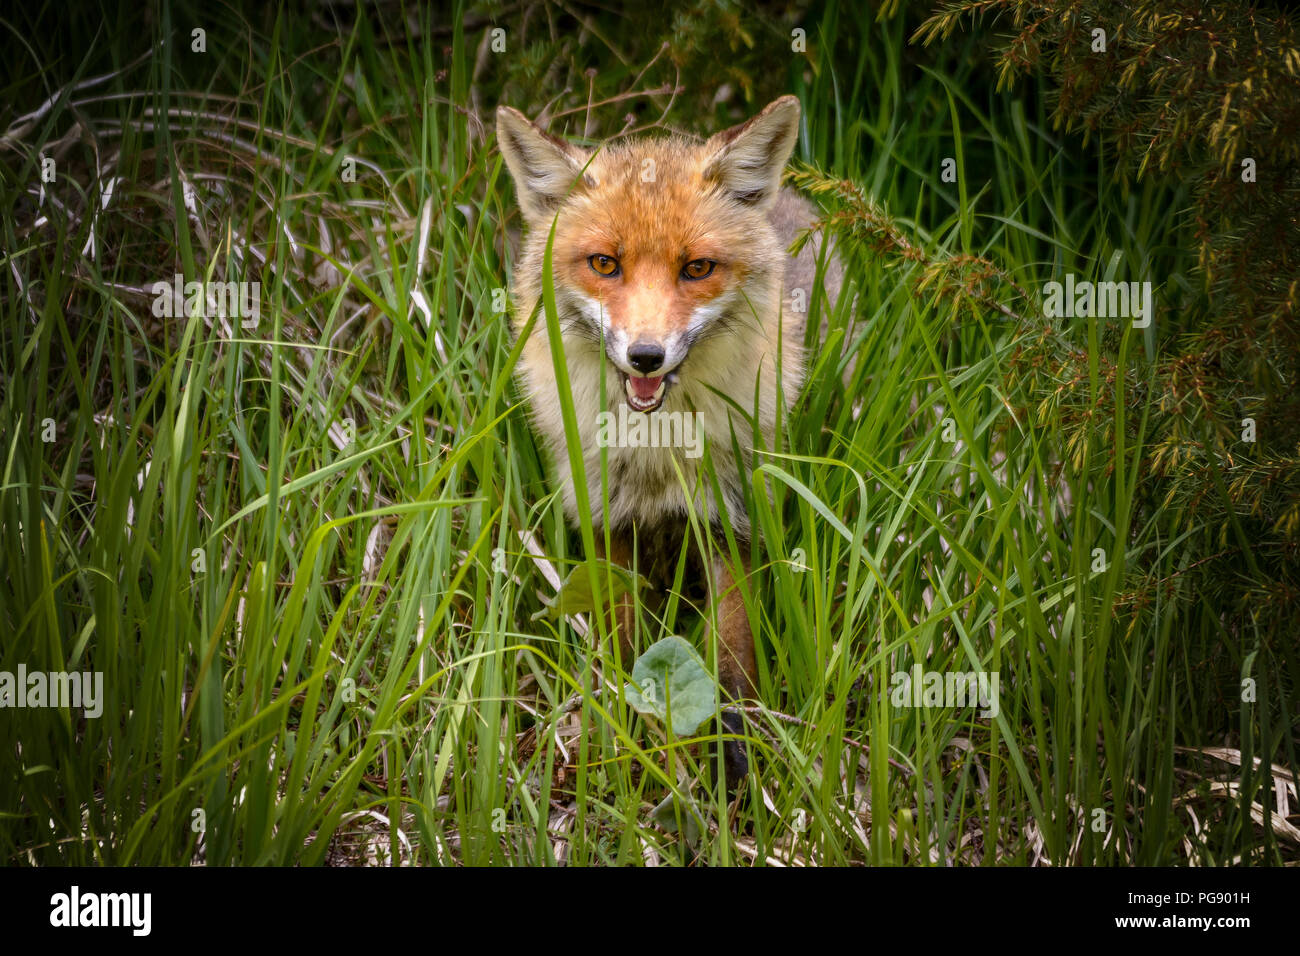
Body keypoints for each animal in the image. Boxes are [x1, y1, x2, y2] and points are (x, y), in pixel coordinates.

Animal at [496, 95, 841, 784]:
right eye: (605, 263)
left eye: (697, 268)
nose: (646, 357)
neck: (657, 454)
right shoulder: (608, 523)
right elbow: (623, 650)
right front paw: (619, 744)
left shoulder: (731, 518)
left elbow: (733, 659)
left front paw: (735, 761)